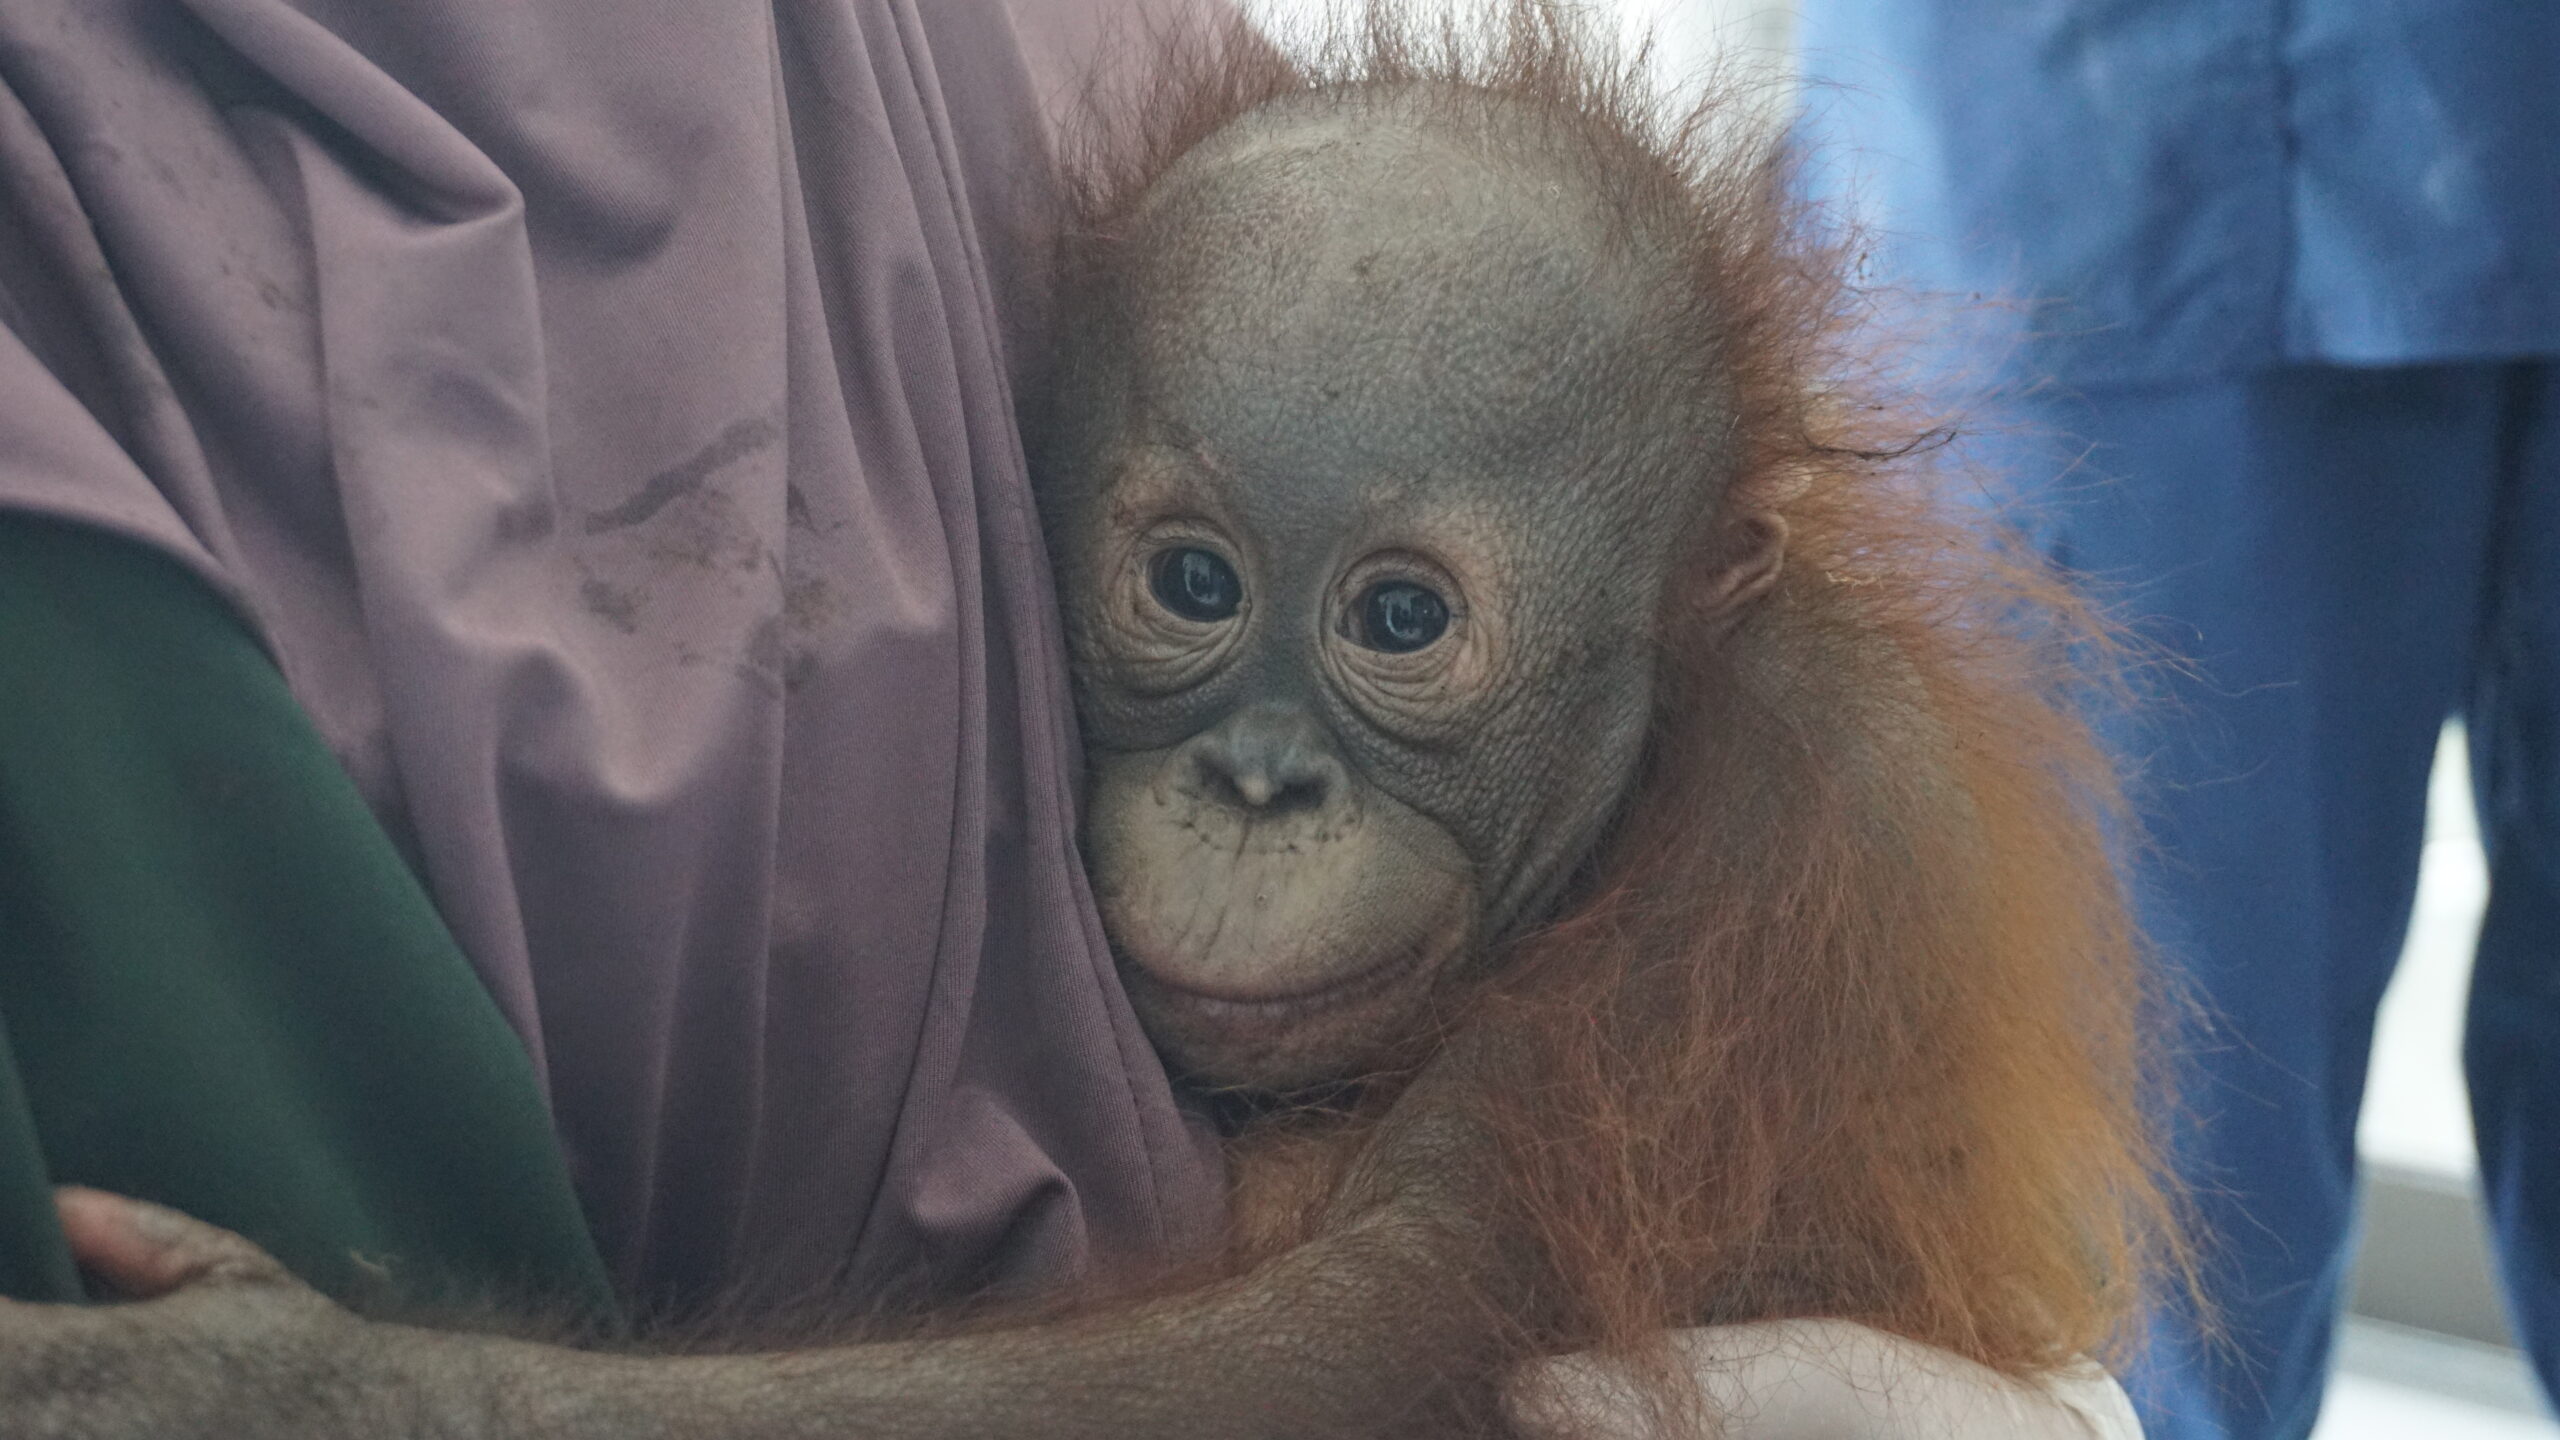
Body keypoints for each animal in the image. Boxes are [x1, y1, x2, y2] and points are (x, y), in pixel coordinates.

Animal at [0, 6, 2175, 1437]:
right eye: (1194, 588)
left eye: (1401, 619)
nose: (1258, 780)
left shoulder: (1790, 874)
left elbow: (1372, 1320)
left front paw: (244, 1381)